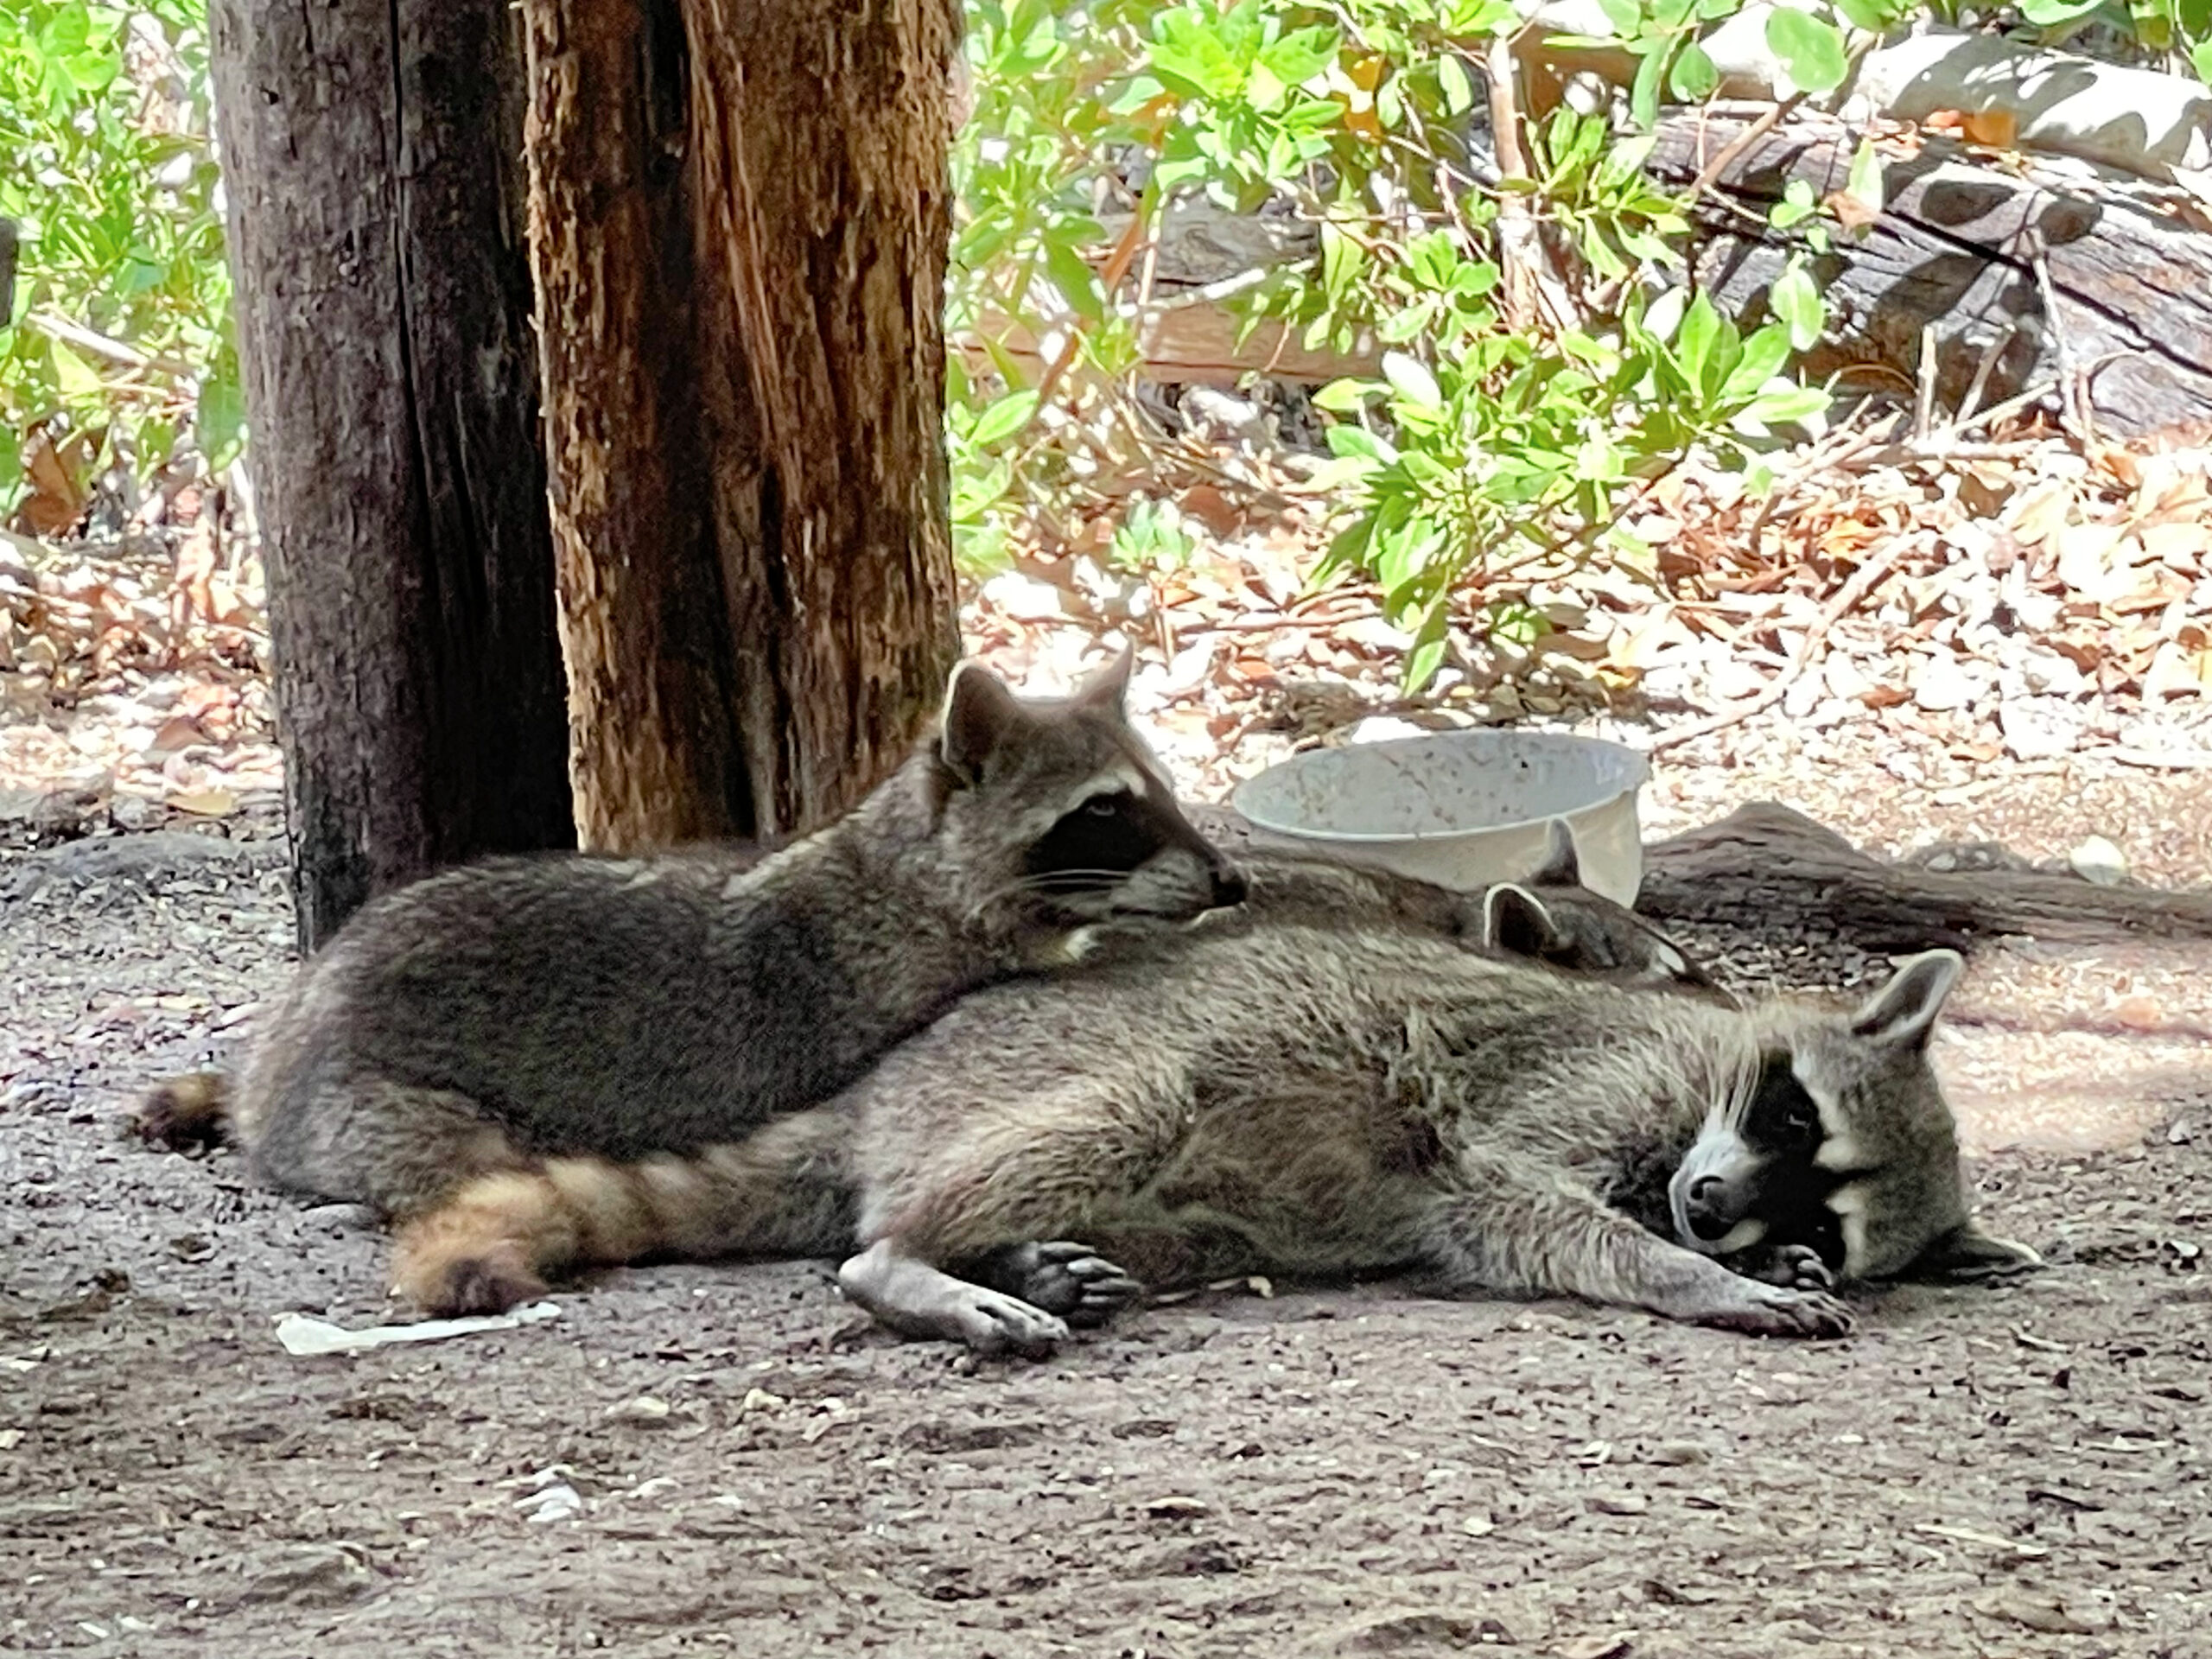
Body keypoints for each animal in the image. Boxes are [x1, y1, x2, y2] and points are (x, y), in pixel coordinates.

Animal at [140, 656, 1241, 1306]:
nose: (1231, 879)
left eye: (1163, 794)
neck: (922, 882)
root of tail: (280, 1043)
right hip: (383, 1102)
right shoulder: (877, 1016)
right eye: (1105, 811)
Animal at [816, 932, 2038, 1355]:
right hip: (1031, 1069)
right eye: (1796, 1115)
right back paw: (907, 1262)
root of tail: (880, 1084)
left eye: (1830, 1224)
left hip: (1193, 1225)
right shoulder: (1580, 1082)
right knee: (1138, 1104)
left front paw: (1760, 1259)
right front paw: (1698, 1275)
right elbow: (1514, 1204)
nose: (1712, 1209)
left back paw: (1017, 1260)